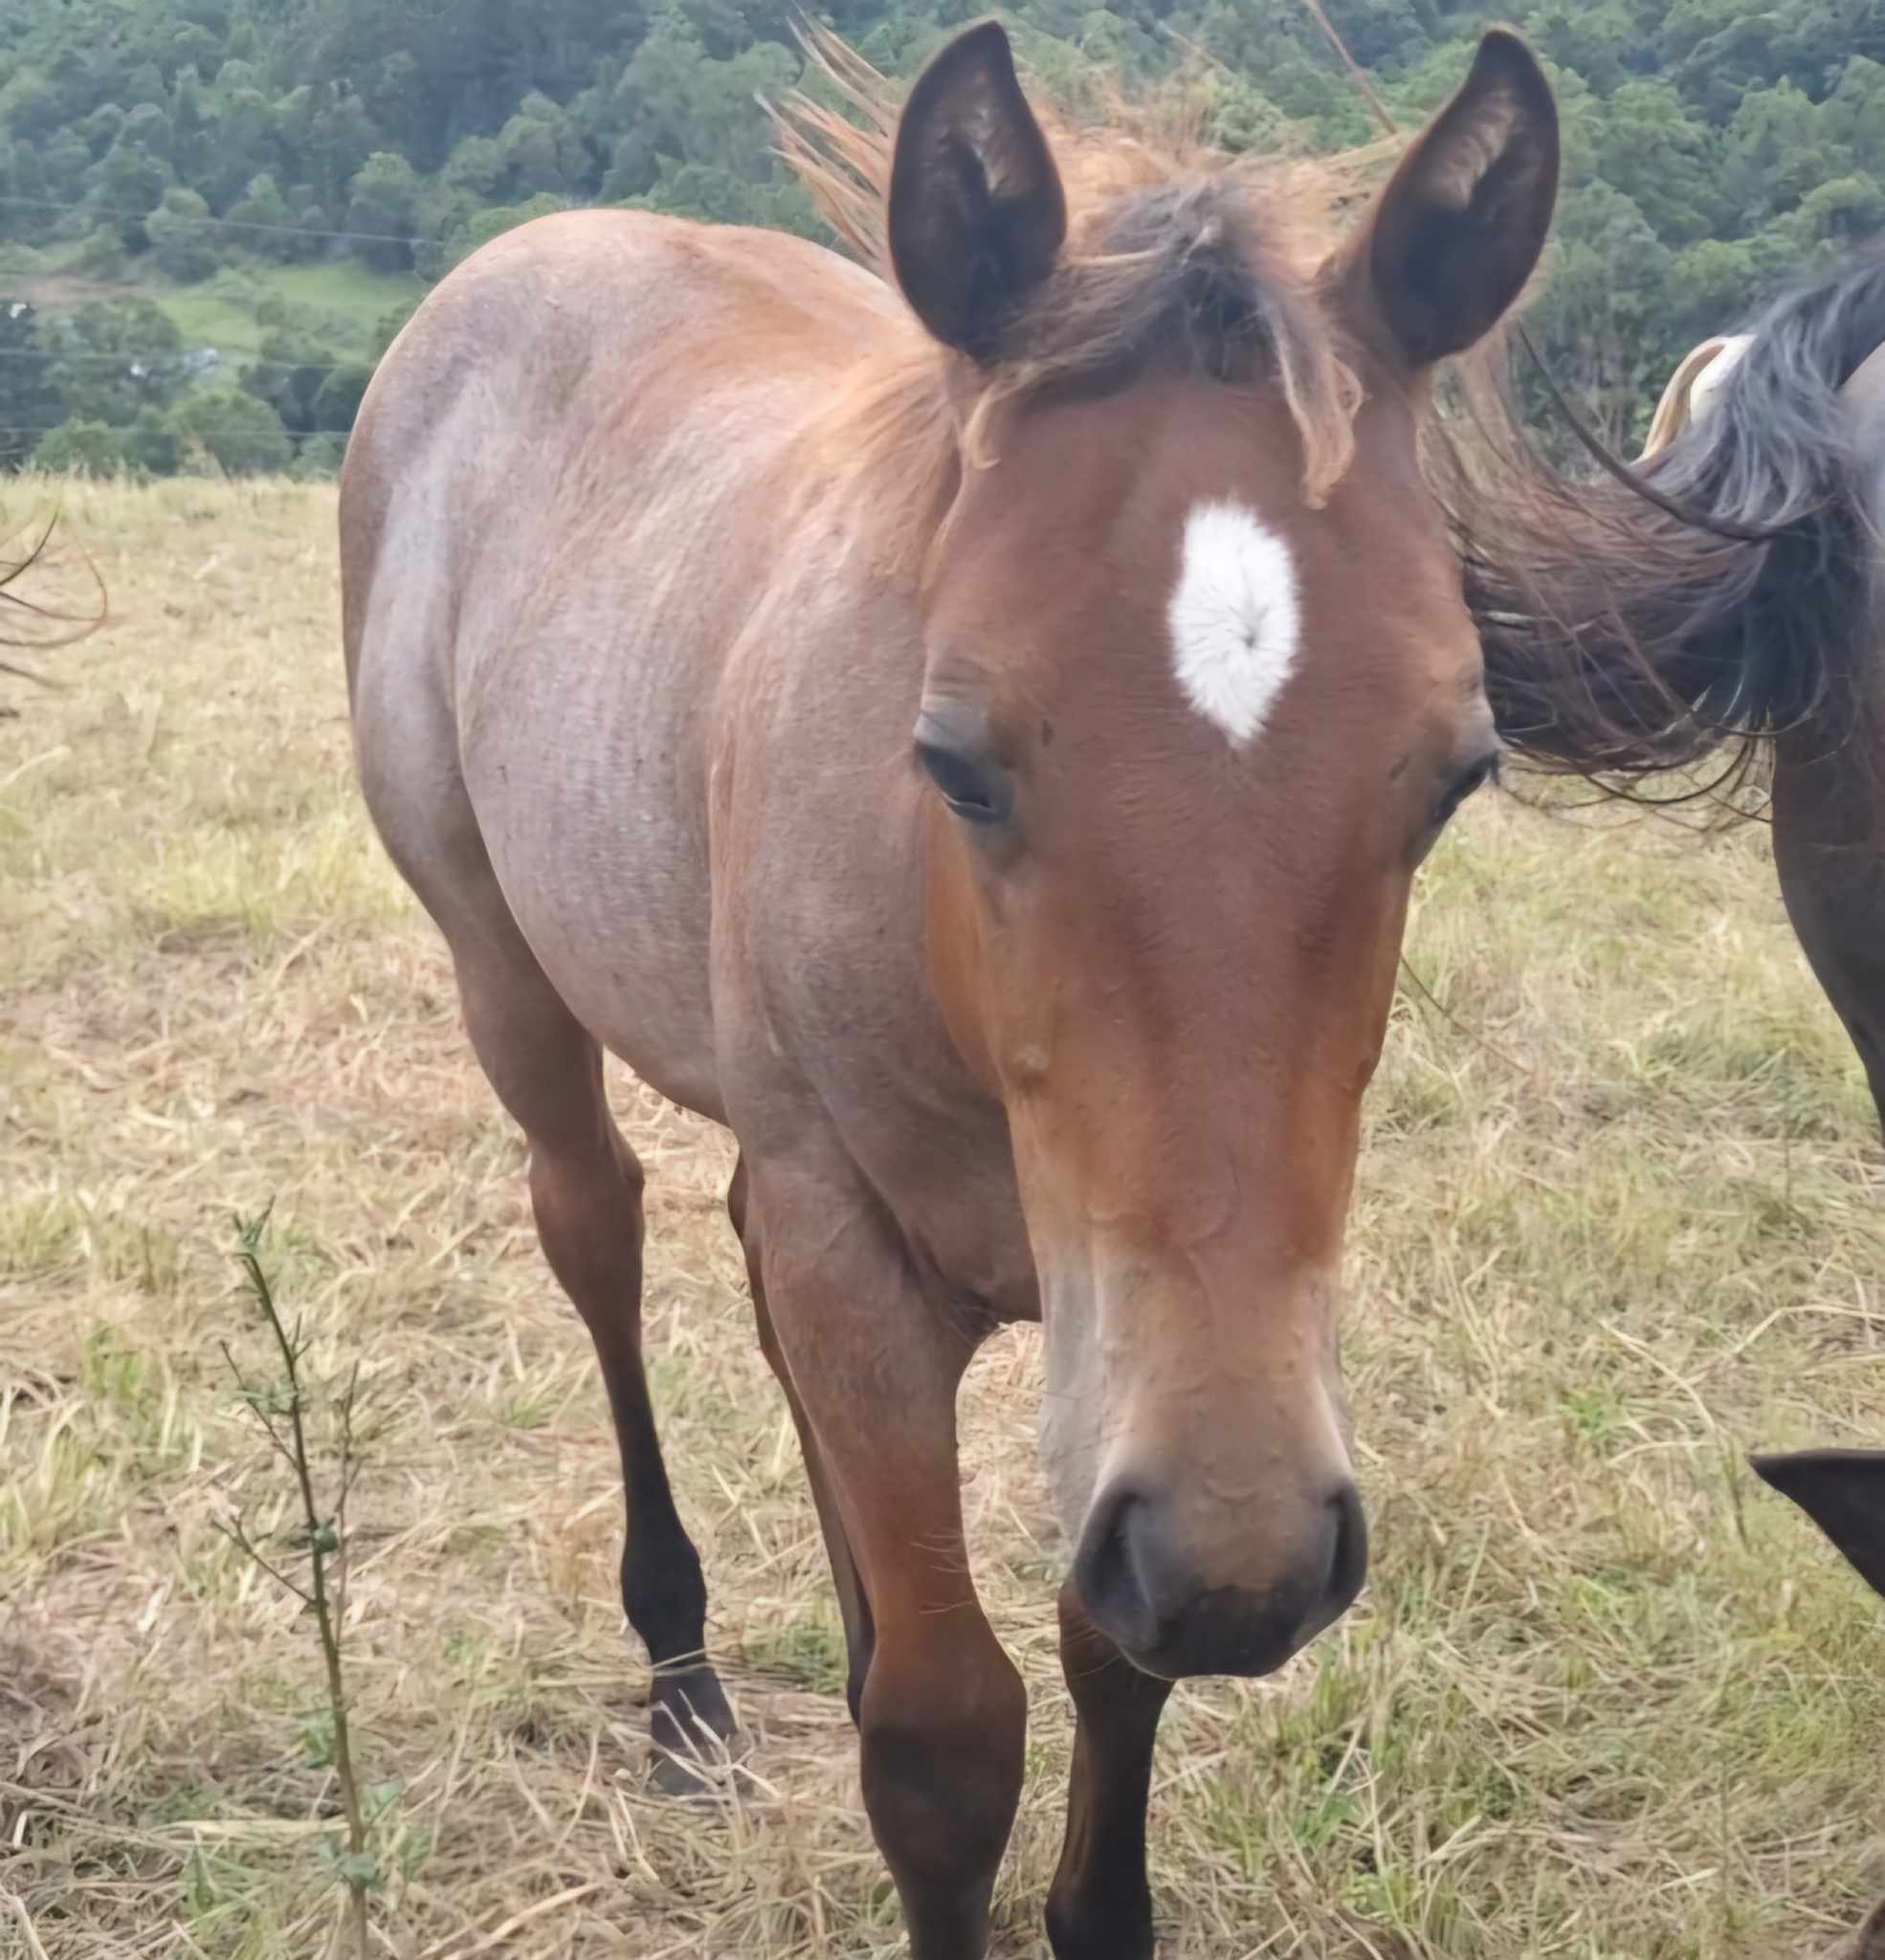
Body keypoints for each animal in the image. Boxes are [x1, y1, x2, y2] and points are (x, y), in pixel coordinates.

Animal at [340, 21, 1560, 1956]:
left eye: (1455, 773)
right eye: (957, 761)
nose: (1249, 1557)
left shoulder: (1127, 1354)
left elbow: (1100, 1648)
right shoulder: (882, 1249)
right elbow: (942, 1738)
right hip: (502, 969)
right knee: (597, 1230)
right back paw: (682, 1677)